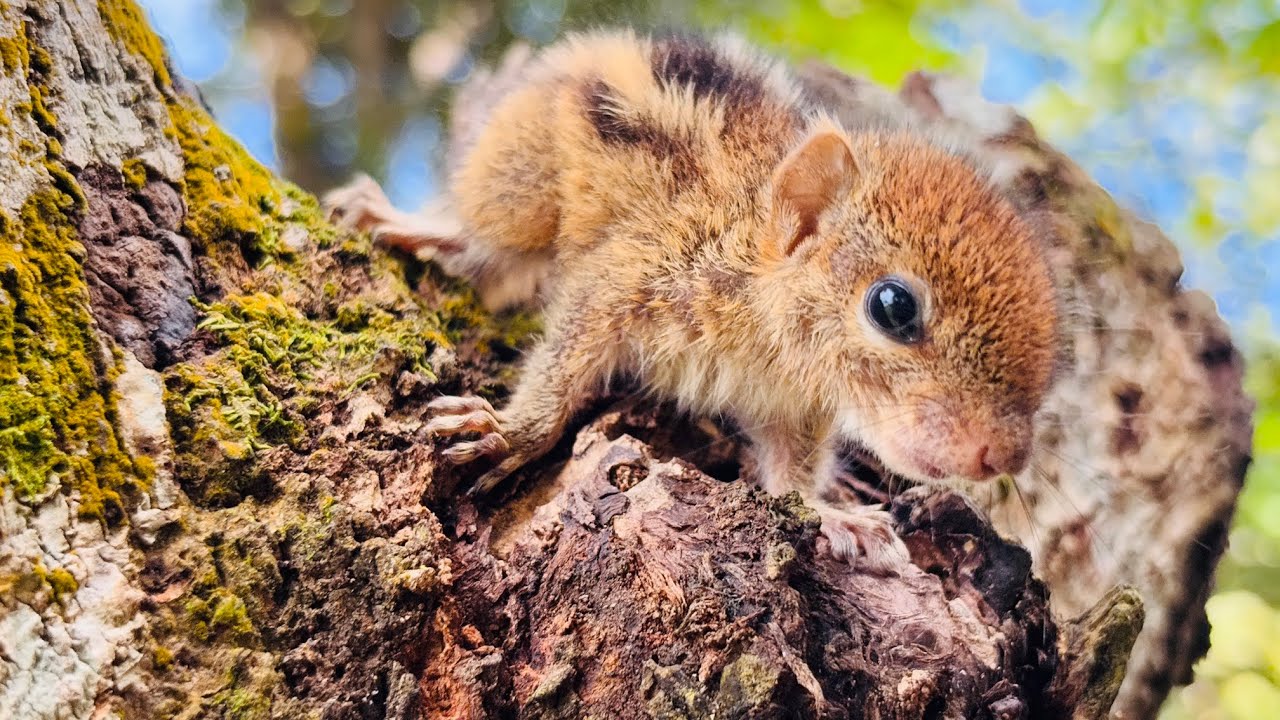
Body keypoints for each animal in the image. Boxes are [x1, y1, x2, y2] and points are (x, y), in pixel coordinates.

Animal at [324, 30, 1060, 571]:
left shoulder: (792, 411)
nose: (1002, 457)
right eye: (893, 307)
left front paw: (837, 516)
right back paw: (418, 225)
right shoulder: (627, 279)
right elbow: (561, 365)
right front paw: (511, 430)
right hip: (518, 183)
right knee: (484, 242)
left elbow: (792, 477)